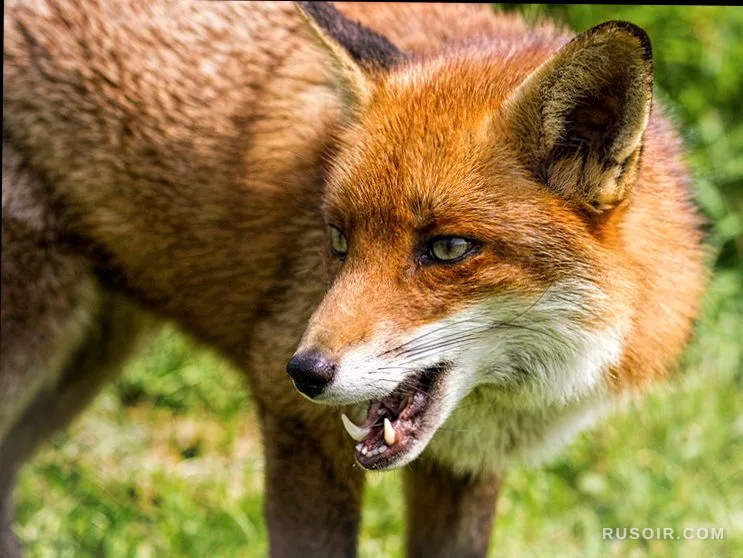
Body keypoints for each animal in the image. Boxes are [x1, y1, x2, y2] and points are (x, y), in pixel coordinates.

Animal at [1, 1, 707, 556]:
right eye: (339, 240)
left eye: (448, 248)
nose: (304, 371)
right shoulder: (300, 428)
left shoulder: (465, 468)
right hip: (38, 343)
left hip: (81, 364)